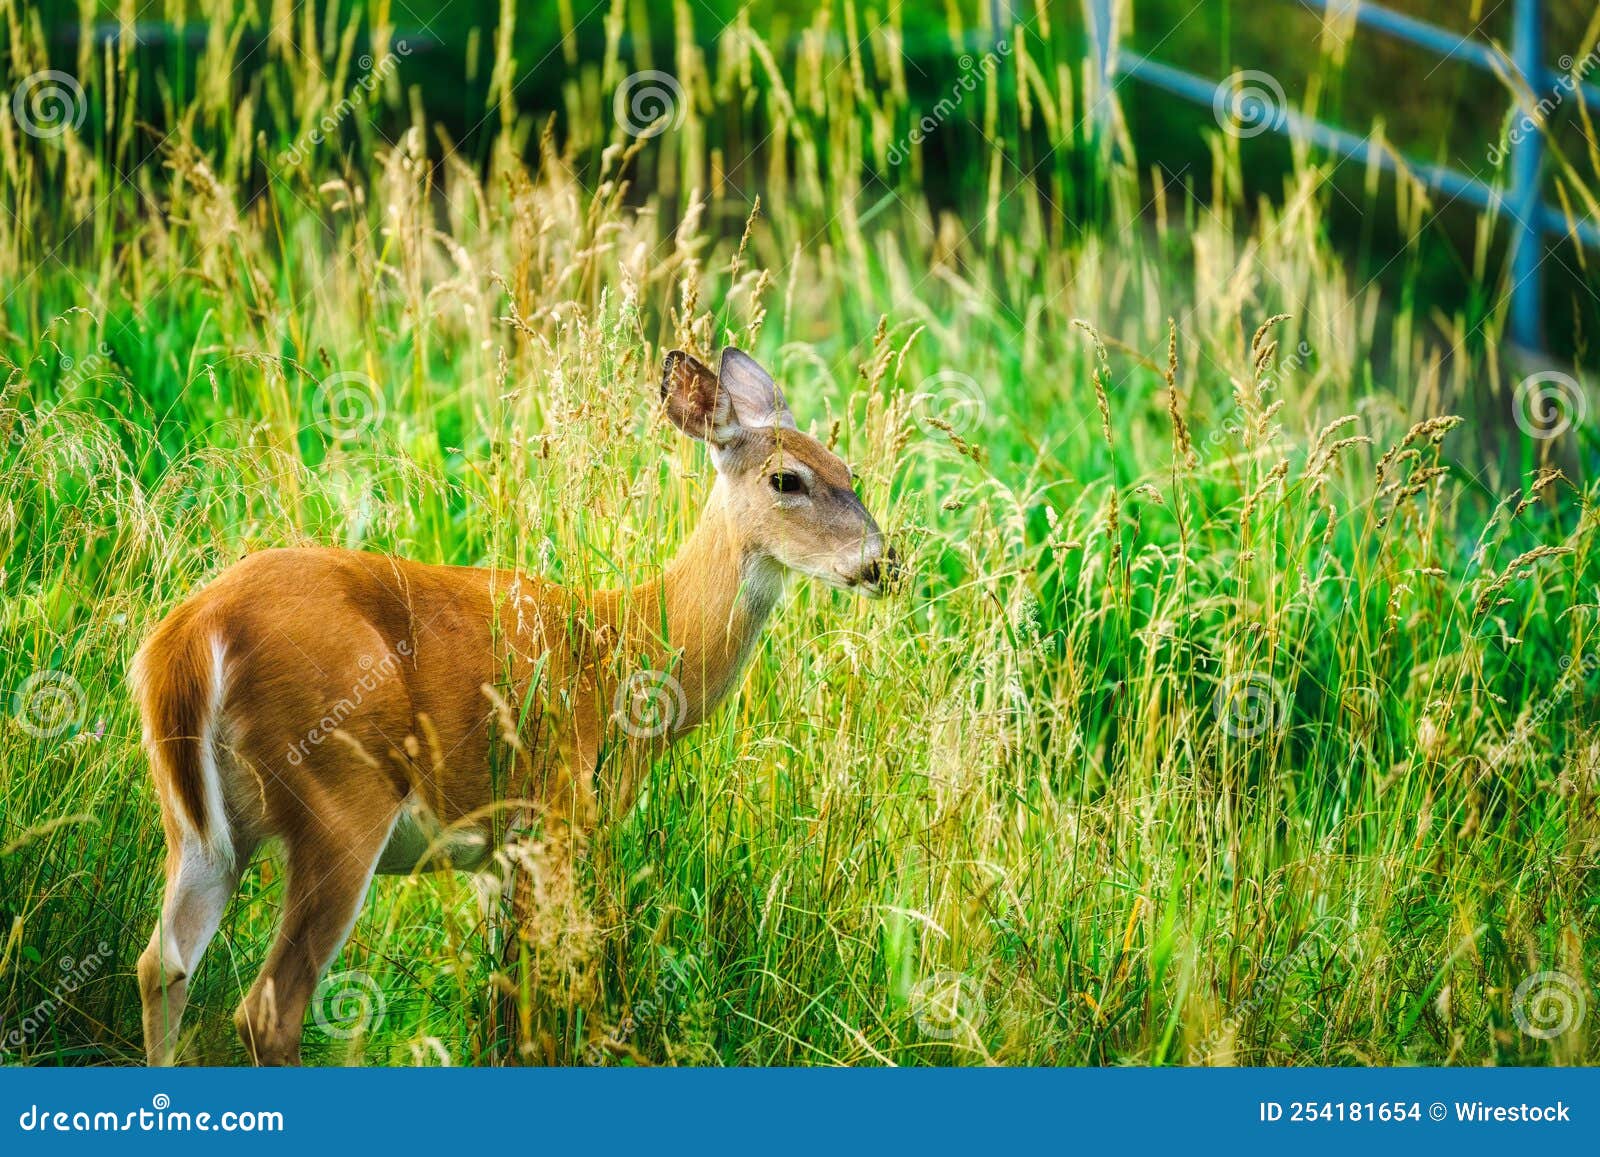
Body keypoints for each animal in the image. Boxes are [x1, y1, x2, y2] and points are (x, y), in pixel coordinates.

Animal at [130, 347, 896, 1065]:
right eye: (787, 479)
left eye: (850, 472)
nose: (882, 562)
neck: (630, 652)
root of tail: (192, 634)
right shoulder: (553, 816)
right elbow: (537, 993)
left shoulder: (500, 851)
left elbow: (502, 996)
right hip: (341, 796)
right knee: (267, 1007)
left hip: (198, 825)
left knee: (160, 965)